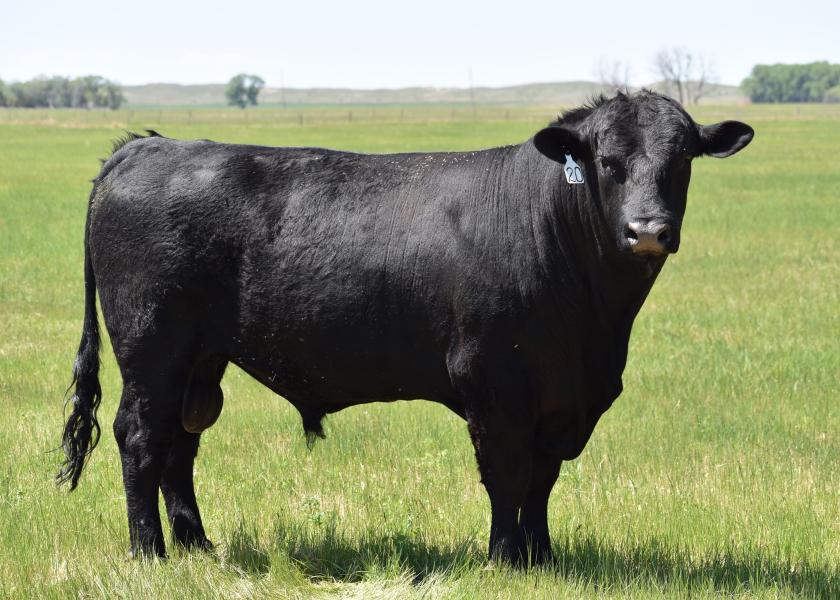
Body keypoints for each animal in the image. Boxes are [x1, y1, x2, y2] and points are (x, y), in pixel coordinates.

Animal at [58, 91, 753, 564]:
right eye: (607, 161)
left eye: (683, 159)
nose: (648, 230)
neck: (594, 328)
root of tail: (148, 144)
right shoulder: (493, 384)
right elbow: (507, 474)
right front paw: (506, 559)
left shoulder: (563, 399)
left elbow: (542, 481)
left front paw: (544, 557)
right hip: (151, 349)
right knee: (140, 439)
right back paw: (150, 552)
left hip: (199, 360)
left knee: (180, 444)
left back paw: (197, 545)